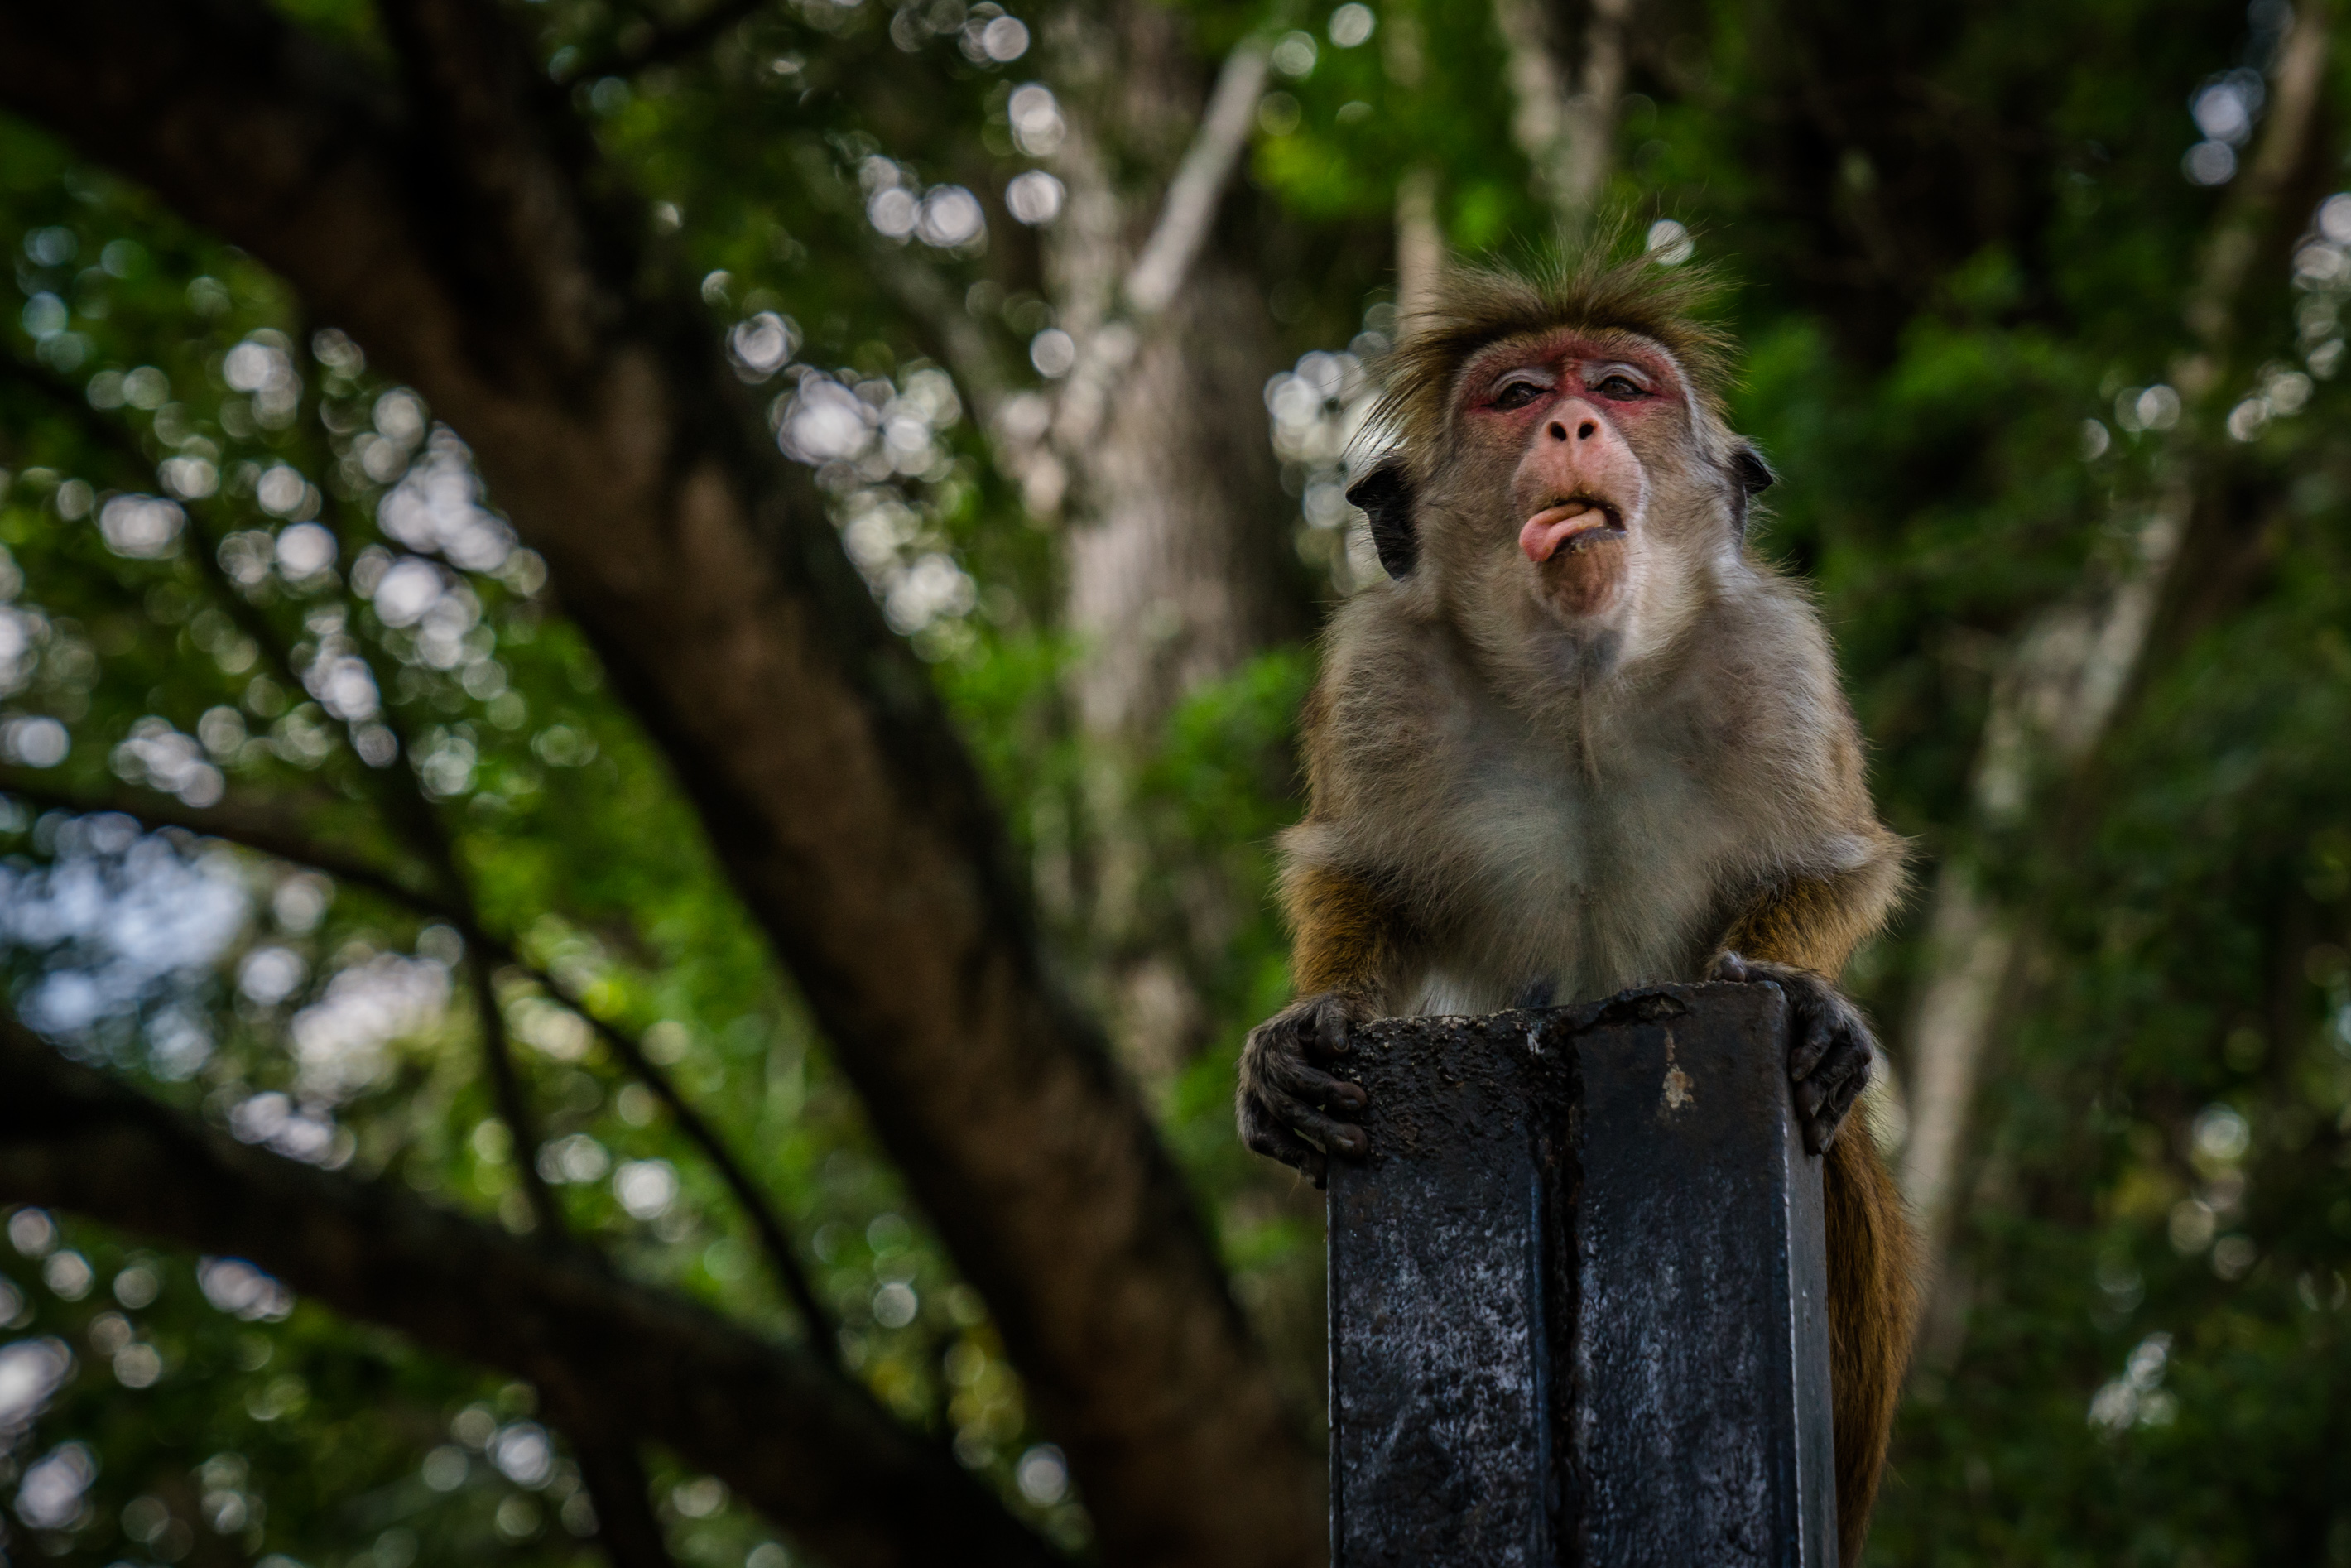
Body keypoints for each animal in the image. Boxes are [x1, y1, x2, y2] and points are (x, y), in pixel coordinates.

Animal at [1237, 250, 1920, 1565]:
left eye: (1618, 386)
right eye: (1514, 397)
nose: (1571, 424)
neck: (1581, 682)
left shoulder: (1777, 654)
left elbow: (1839, 866)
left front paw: (1800, 988)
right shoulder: (1376, 673)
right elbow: (1358, 876)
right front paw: (1308, 1027)